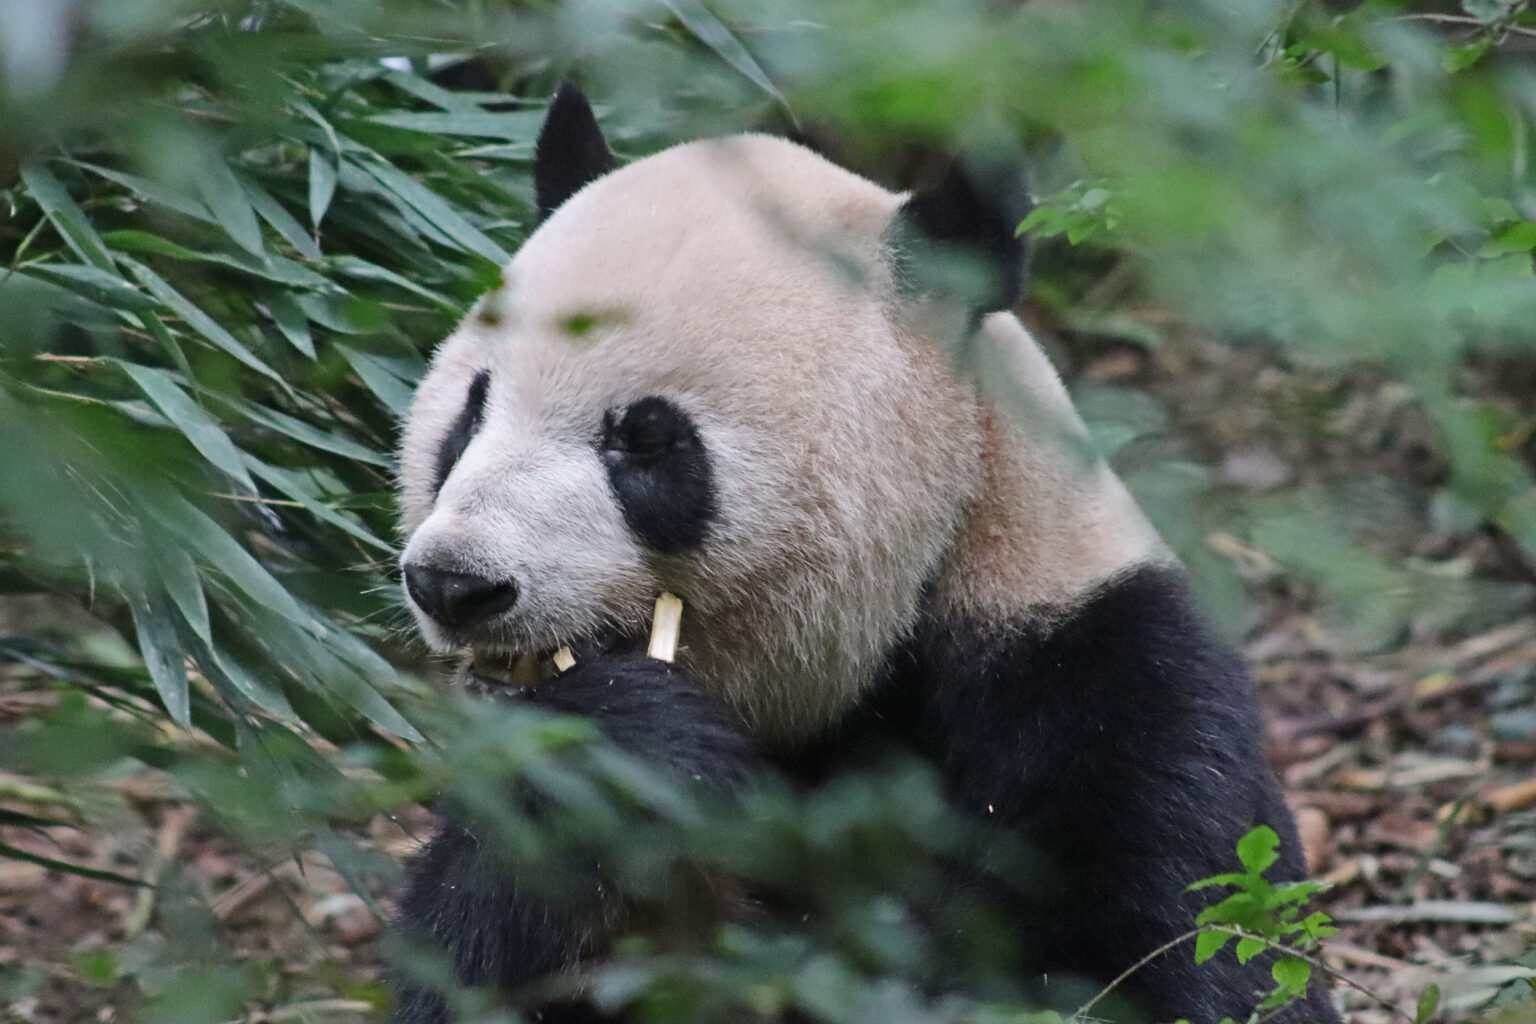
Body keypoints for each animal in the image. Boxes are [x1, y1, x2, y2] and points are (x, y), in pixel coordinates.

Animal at [390, 83, 1340, 1024]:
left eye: (646, 440)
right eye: (470, 413)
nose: (455, 583)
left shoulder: (1105, 678)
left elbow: (1155, 956)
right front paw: (612, 745)